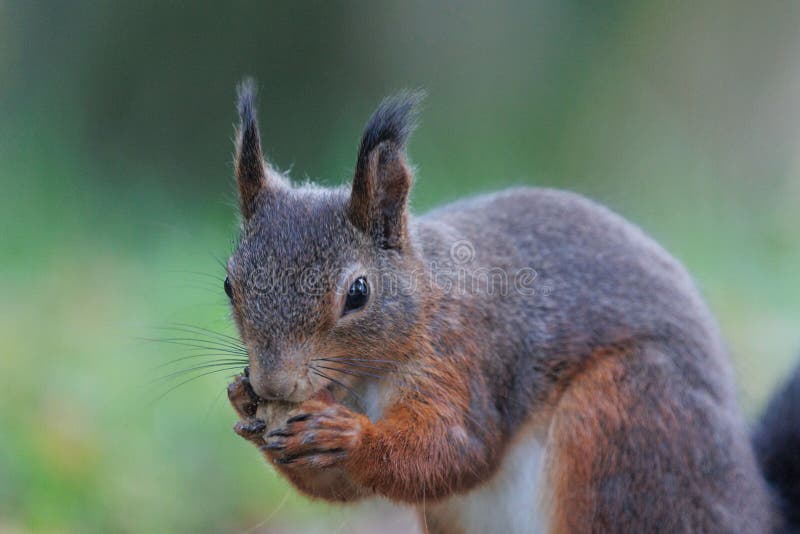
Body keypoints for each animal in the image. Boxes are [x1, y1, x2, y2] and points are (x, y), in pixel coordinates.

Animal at [223, 80, 800, 533]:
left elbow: (457, 449)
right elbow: (338, 487)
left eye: (358, 293)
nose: (274, 382)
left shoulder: (466, 356)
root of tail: (753, 509)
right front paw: (244, 400)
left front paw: (349, 436)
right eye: (230, 284)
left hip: (626, 417)